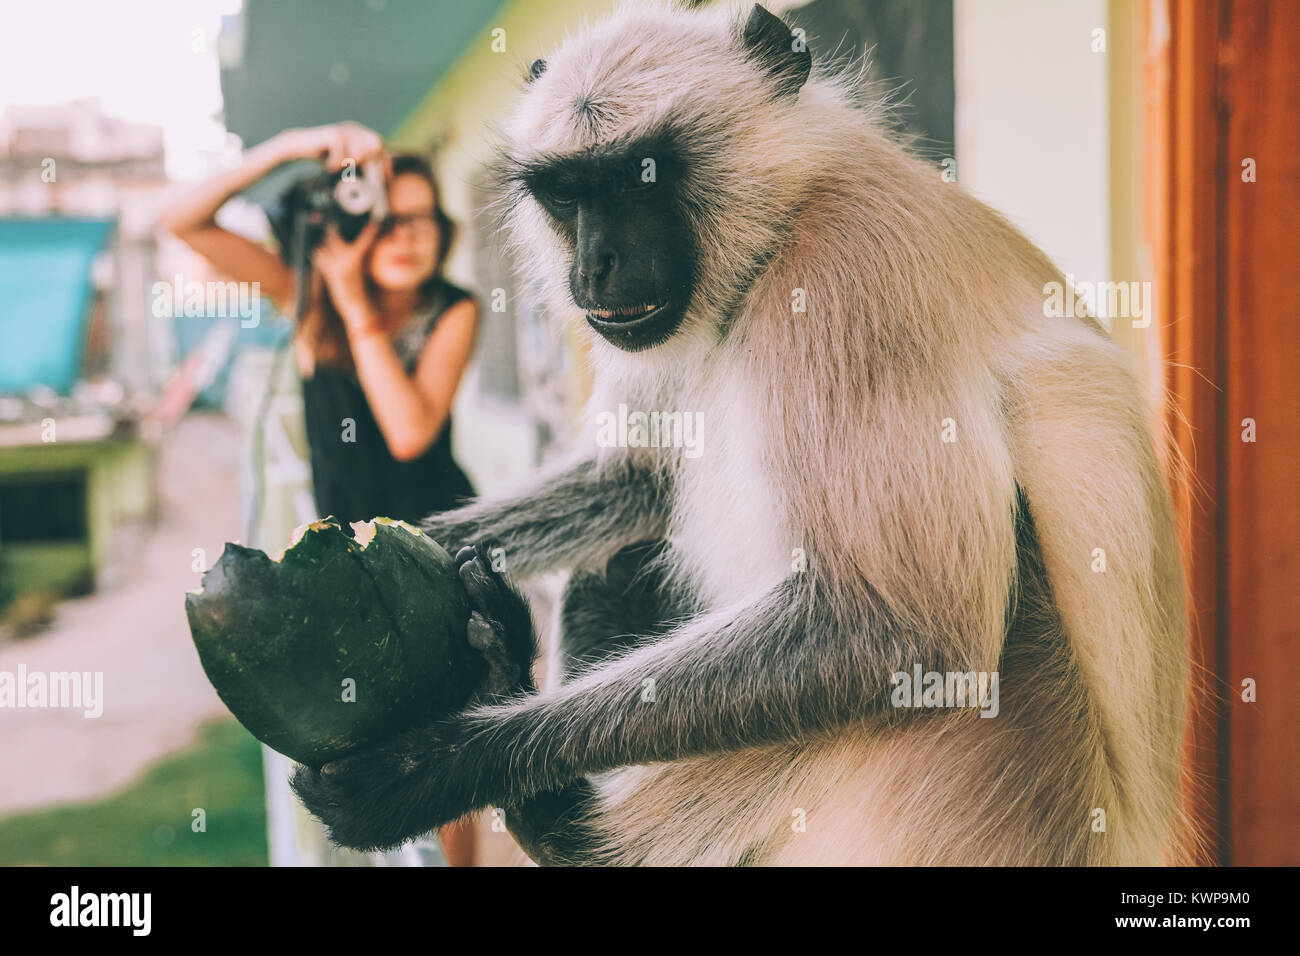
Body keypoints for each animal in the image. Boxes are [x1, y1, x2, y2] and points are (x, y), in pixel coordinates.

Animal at [291, 1, 1190, 866]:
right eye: (568, 195)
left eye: (641, 180)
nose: (596, 266)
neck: (772, 239)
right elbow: (640, 476)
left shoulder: (843, 274)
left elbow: (911, 629)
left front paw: (438, 766)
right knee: (619, 562)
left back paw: (564, 822)